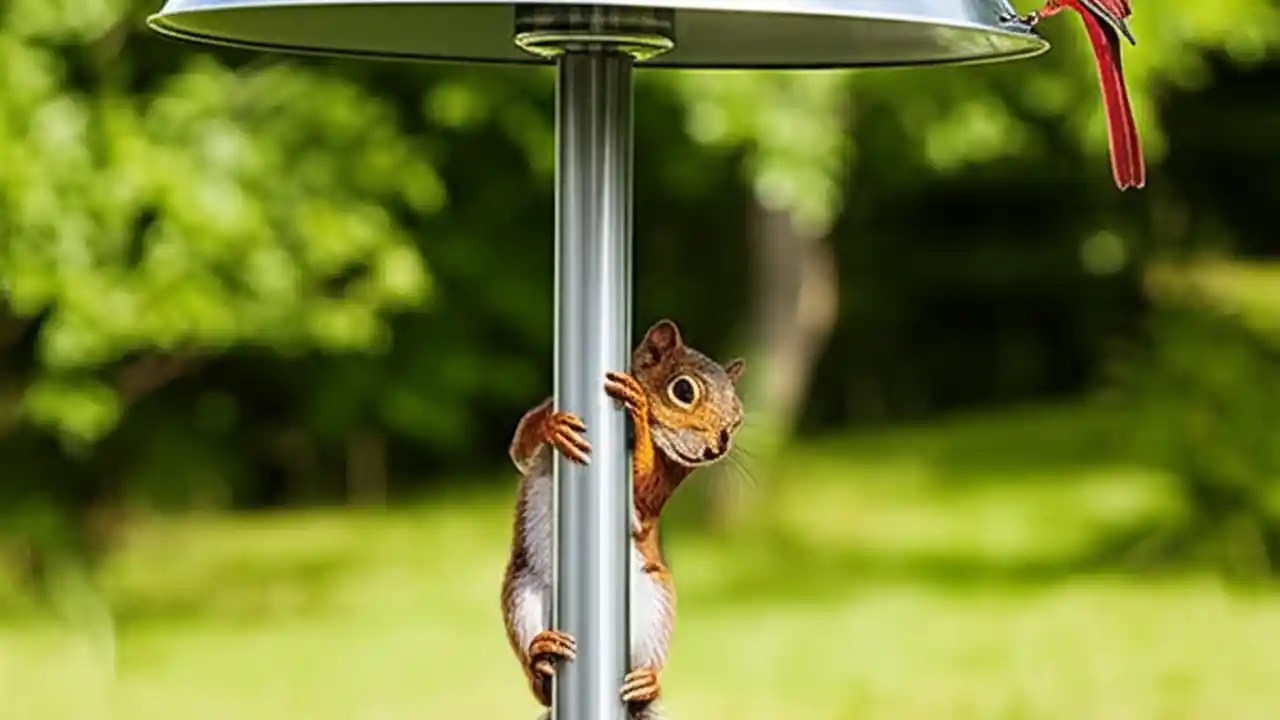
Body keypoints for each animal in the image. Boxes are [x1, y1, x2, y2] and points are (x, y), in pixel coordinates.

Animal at [500, 319, 746, 720]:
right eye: (683, 390)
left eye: (737, 418)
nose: (718, 446)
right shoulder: (544, 415)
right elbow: (521, 445)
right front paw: (553, 428)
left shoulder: (663, 484)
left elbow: (644, 494)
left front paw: (639, 408)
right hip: (522, 593)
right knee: (538, 682)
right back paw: (541, 658)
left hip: (655, 599)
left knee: (645, 678)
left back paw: (646, 684)